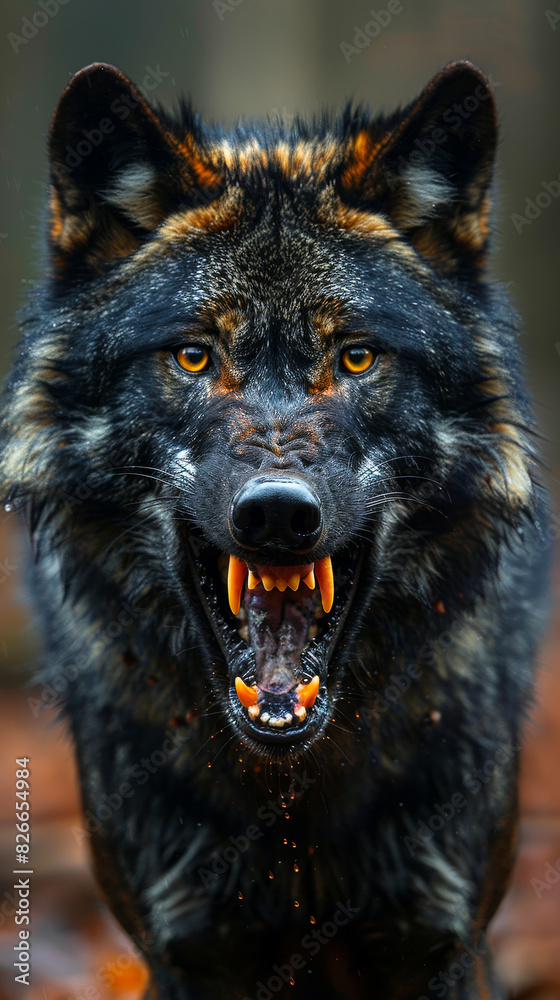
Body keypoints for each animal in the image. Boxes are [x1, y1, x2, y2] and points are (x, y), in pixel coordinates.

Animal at [0, 60, 550, 998]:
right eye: (193, 356)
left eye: (357, 356)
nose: (278, 513)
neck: (294, 796)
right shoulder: (186, 949)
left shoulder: (442, 942)